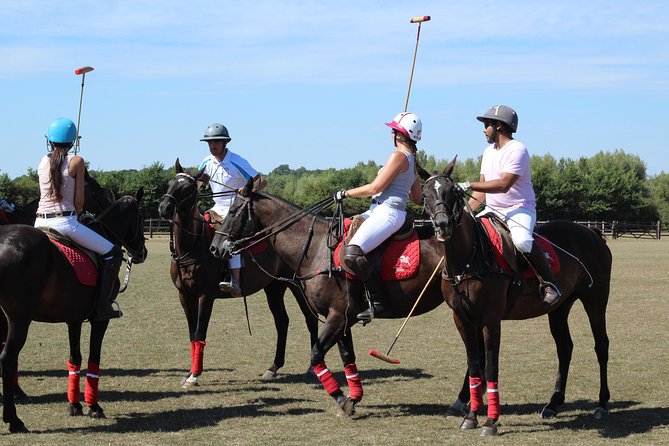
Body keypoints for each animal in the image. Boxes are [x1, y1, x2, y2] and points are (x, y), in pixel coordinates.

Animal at [0, 188, 148, 433]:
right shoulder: (100, 319)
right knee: (7, 358)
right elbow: (94, 357)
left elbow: (74, 357)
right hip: (18, 319)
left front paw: (75, 405)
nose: (142, 253)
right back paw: (14, 420)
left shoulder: (74, 319)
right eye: (142, 218)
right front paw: (94, 407)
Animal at [157, 159, 319, 387]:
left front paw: (194, 376)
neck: (191, 246)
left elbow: (200, 333)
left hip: (296, 285)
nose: (164, 208)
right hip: (274, 286)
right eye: (170, 183)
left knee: (310, 318)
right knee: (282, 321)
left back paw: (312, 368)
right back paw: (273, 367)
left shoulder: (206, 296)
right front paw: (189, 373)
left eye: (187, 188)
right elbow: (192, 335)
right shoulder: (184, 295)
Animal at [209, 178, 448, 416]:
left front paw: (342, 399)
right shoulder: (345, 319)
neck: (315, 249)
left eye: (233, 211)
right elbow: (347, 358)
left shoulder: (338, 317)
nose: (215, 248)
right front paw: (353, 399)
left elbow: (316, 354)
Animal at [421, 158, 611, 436]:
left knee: (601, 345)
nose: (443, 225)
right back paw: (553, 404)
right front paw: (470, 416)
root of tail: (593, 233)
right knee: (564, 347)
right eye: (425, 194)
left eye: (452, 193)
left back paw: (602, 405)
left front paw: (490, 421)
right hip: (559, 307)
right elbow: (475, 363)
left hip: (596, 299)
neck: (469, 257)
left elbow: (490, 365)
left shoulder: (490, 318)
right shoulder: (462, 318)